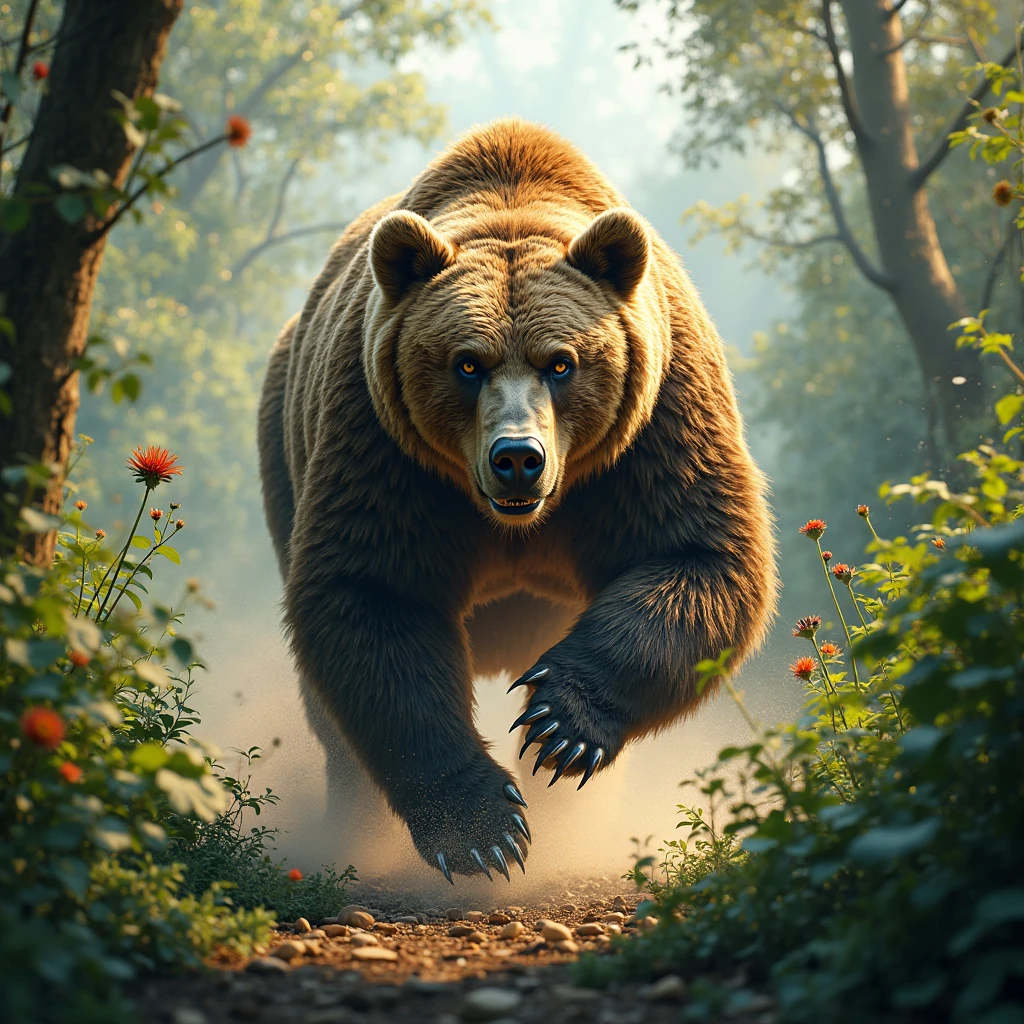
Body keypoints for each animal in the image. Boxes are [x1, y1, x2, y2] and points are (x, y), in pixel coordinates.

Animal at [258, 118, 778, 883]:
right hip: (283, 447)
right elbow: (374, 594)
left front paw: (558, 722)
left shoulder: (651, 431)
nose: (517, 460)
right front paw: (484, 829)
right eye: (466, 363)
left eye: (561, 362)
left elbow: (698, 556)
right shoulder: (388, 450)